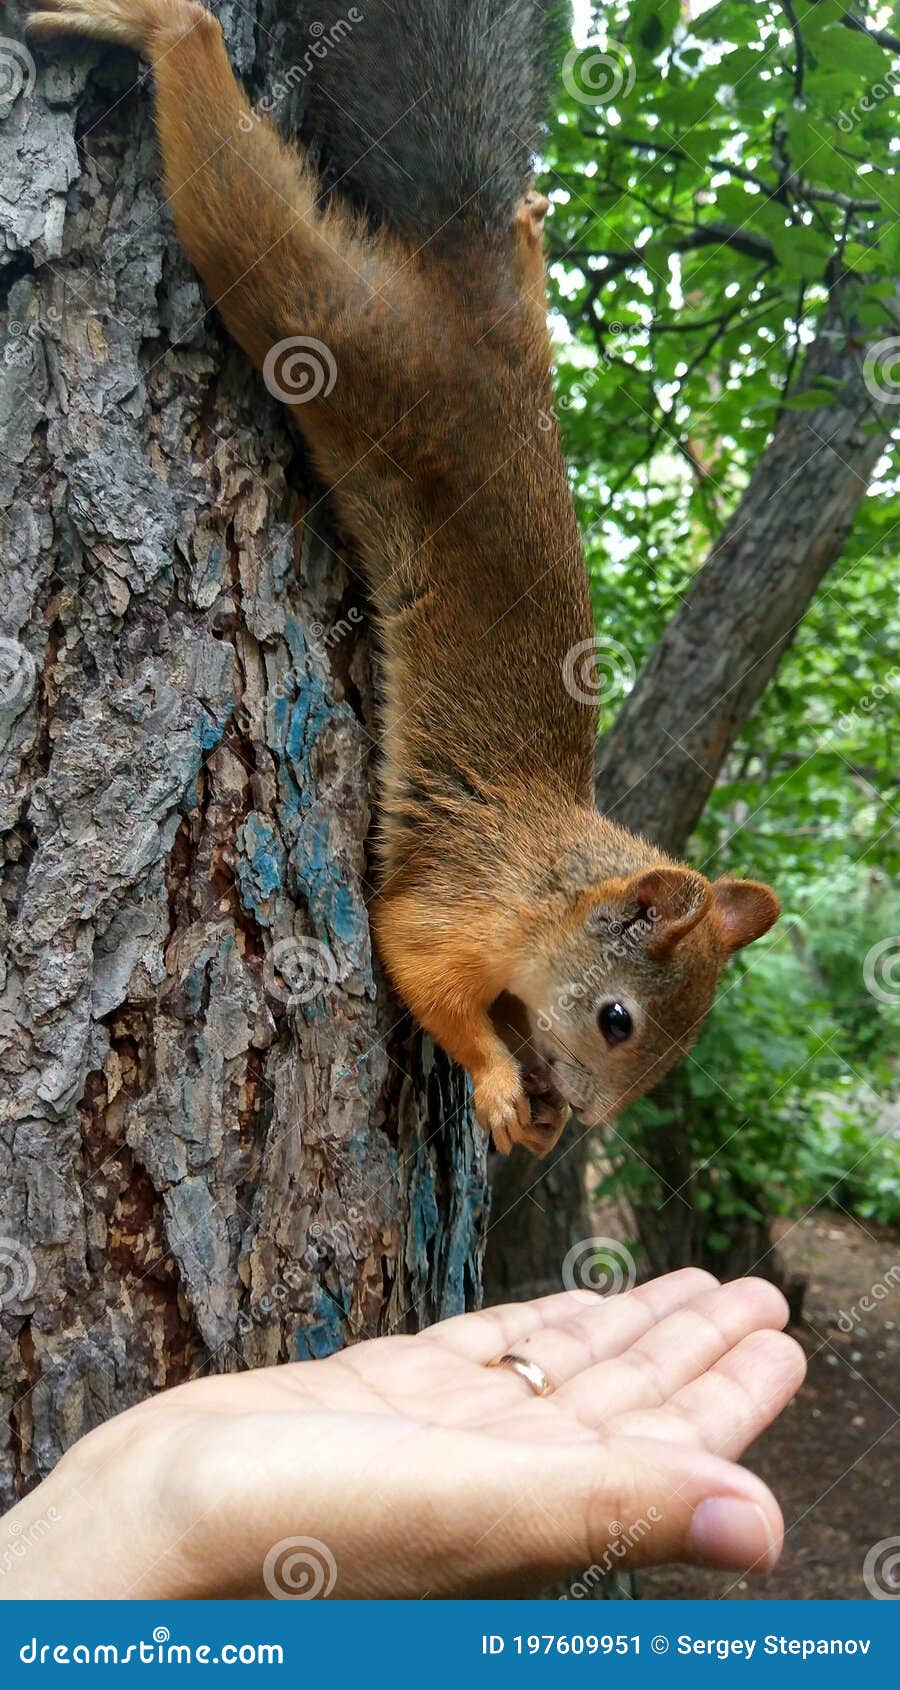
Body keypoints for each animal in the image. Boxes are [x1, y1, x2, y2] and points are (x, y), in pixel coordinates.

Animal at [28, 0, 780, 1157]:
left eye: (673, 1048)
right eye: (618, 1018)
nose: (585, 1118)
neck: (548, 881)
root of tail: (473, 311)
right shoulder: (461, 902)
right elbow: (416, 961)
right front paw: (503, 1086)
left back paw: (527, 227)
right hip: (347, 334)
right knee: (239, 192)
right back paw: (155, 27)